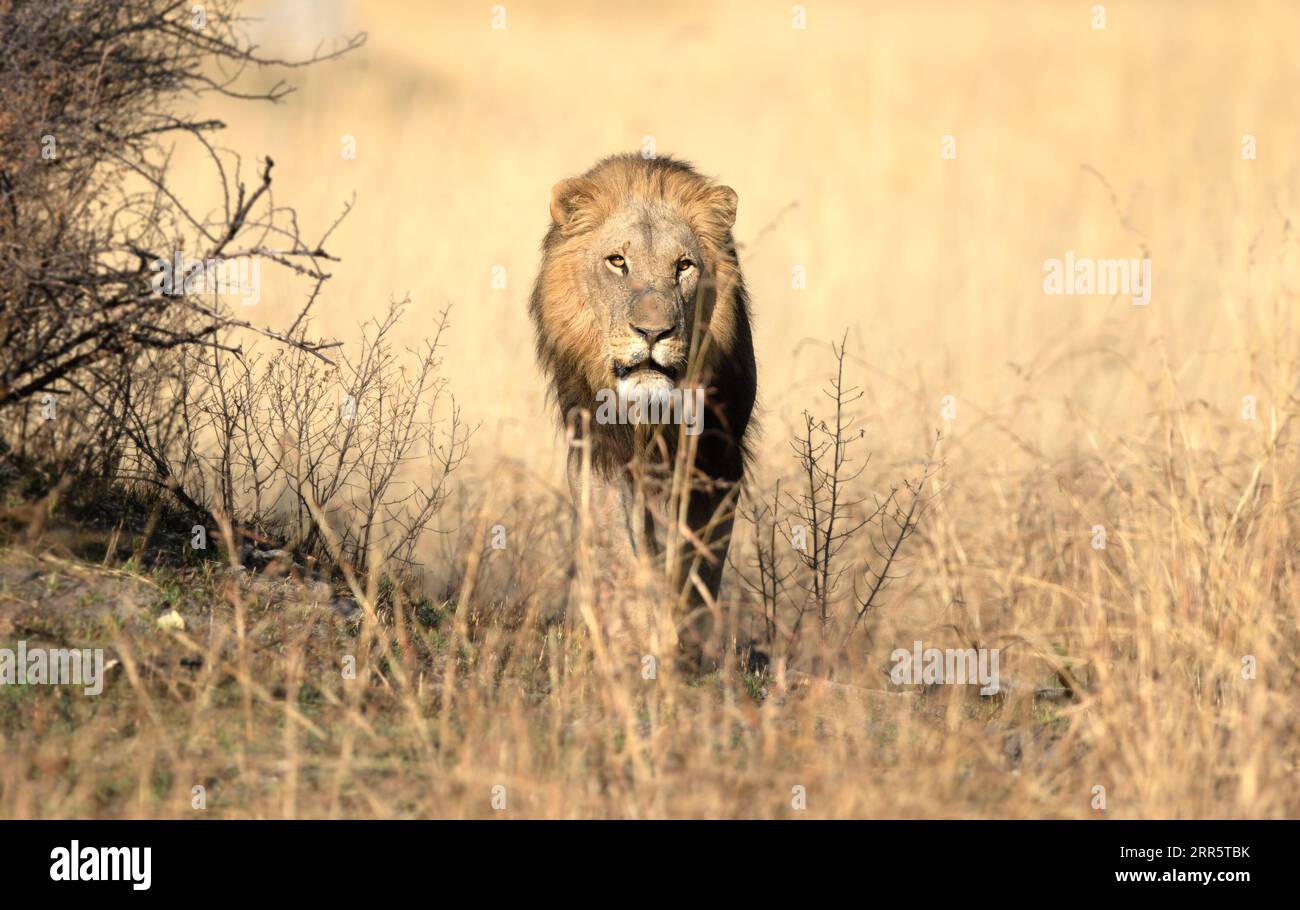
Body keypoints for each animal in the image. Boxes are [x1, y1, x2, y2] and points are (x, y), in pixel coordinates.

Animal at [528, 154, 757, 667]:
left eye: (684, 266)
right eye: (618, 261)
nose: (653, 332)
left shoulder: (717, 460)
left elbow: (698, 561)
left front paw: (684, 638)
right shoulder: (599, 449)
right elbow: (616, 544)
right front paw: (635, 637)